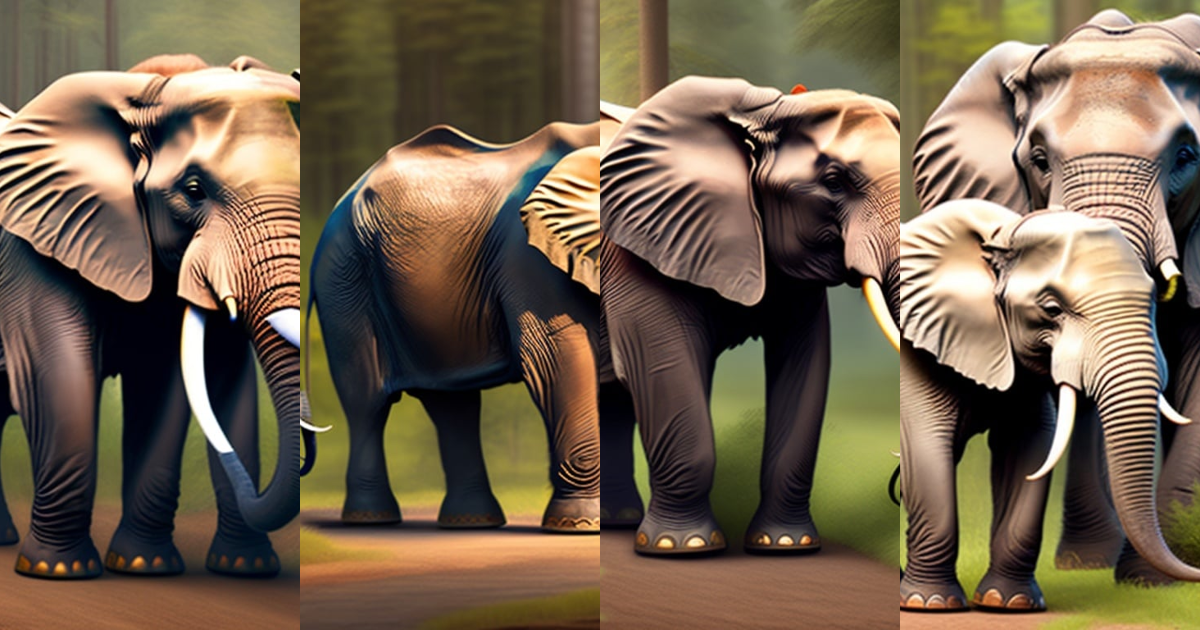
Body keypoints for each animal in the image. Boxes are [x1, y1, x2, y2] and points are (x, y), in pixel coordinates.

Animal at [0, 54, 301, 578]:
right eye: (194, 190)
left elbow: (167, 385)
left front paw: (150, 565)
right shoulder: (36, 248)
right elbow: (58, 380)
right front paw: (59, 571)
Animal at [308, 114, 647, 533]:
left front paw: (615, 520)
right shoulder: (528, 260)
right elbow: (557, 358)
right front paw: (579, 525)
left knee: (450, 402)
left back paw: (471, 521)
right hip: (345, 278)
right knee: (367, 401)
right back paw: (371, 519)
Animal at [595, 76, 901, 556]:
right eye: (834, 181)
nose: (896, 481)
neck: (766, 110)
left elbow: (806, 368)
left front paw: (786, 545)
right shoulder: (638, 252)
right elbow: (662, 369)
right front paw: (682, 548)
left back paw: (617, 521)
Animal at [897, 200, 1200, 611]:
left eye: (1153, 298)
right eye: (1052, 308)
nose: (1193, 573)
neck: (1004, 234)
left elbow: (1030, 448)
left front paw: (1008, 602)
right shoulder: (919, 351)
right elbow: (927, 449)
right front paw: (929, 604)